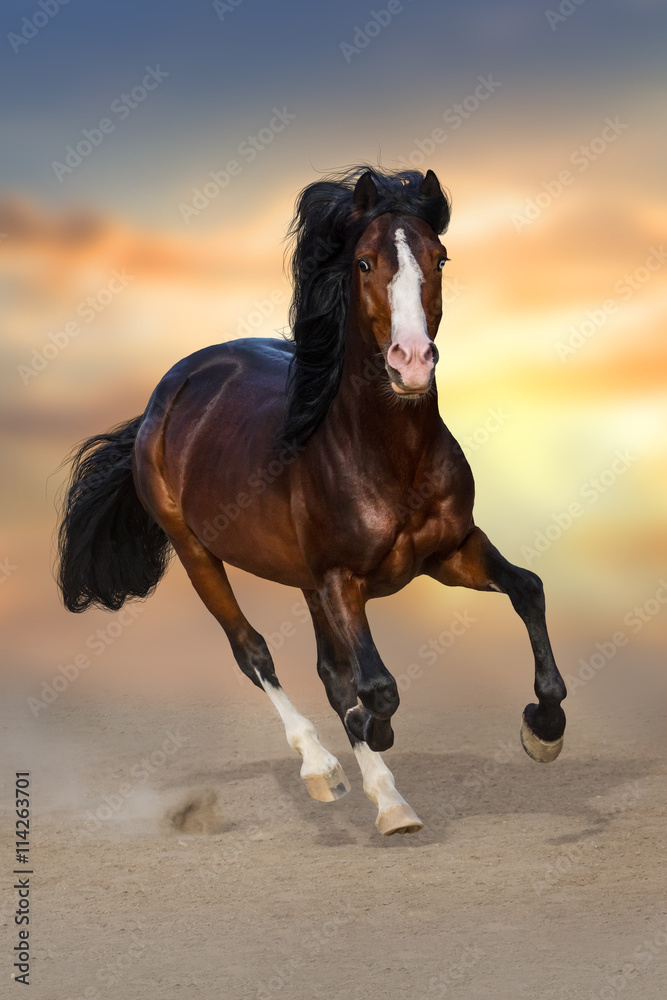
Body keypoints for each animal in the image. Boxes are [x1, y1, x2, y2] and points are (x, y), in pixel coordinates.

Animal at [57, 166, 567, 836]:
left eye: (440, 256)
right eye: (365, 262)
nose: (411, 362)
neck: (389, 454)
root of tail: (167, 392)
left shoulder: (452, 552)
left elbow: (527, 589)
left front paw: (545, 729)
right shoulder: (340, 579)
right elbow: (376, 688)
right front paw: (376, 737)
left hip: (303, 580)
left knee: (329, 672)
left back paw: (384, 795)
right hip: (198, 554)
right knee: (255, 653)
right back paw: (331, 773)